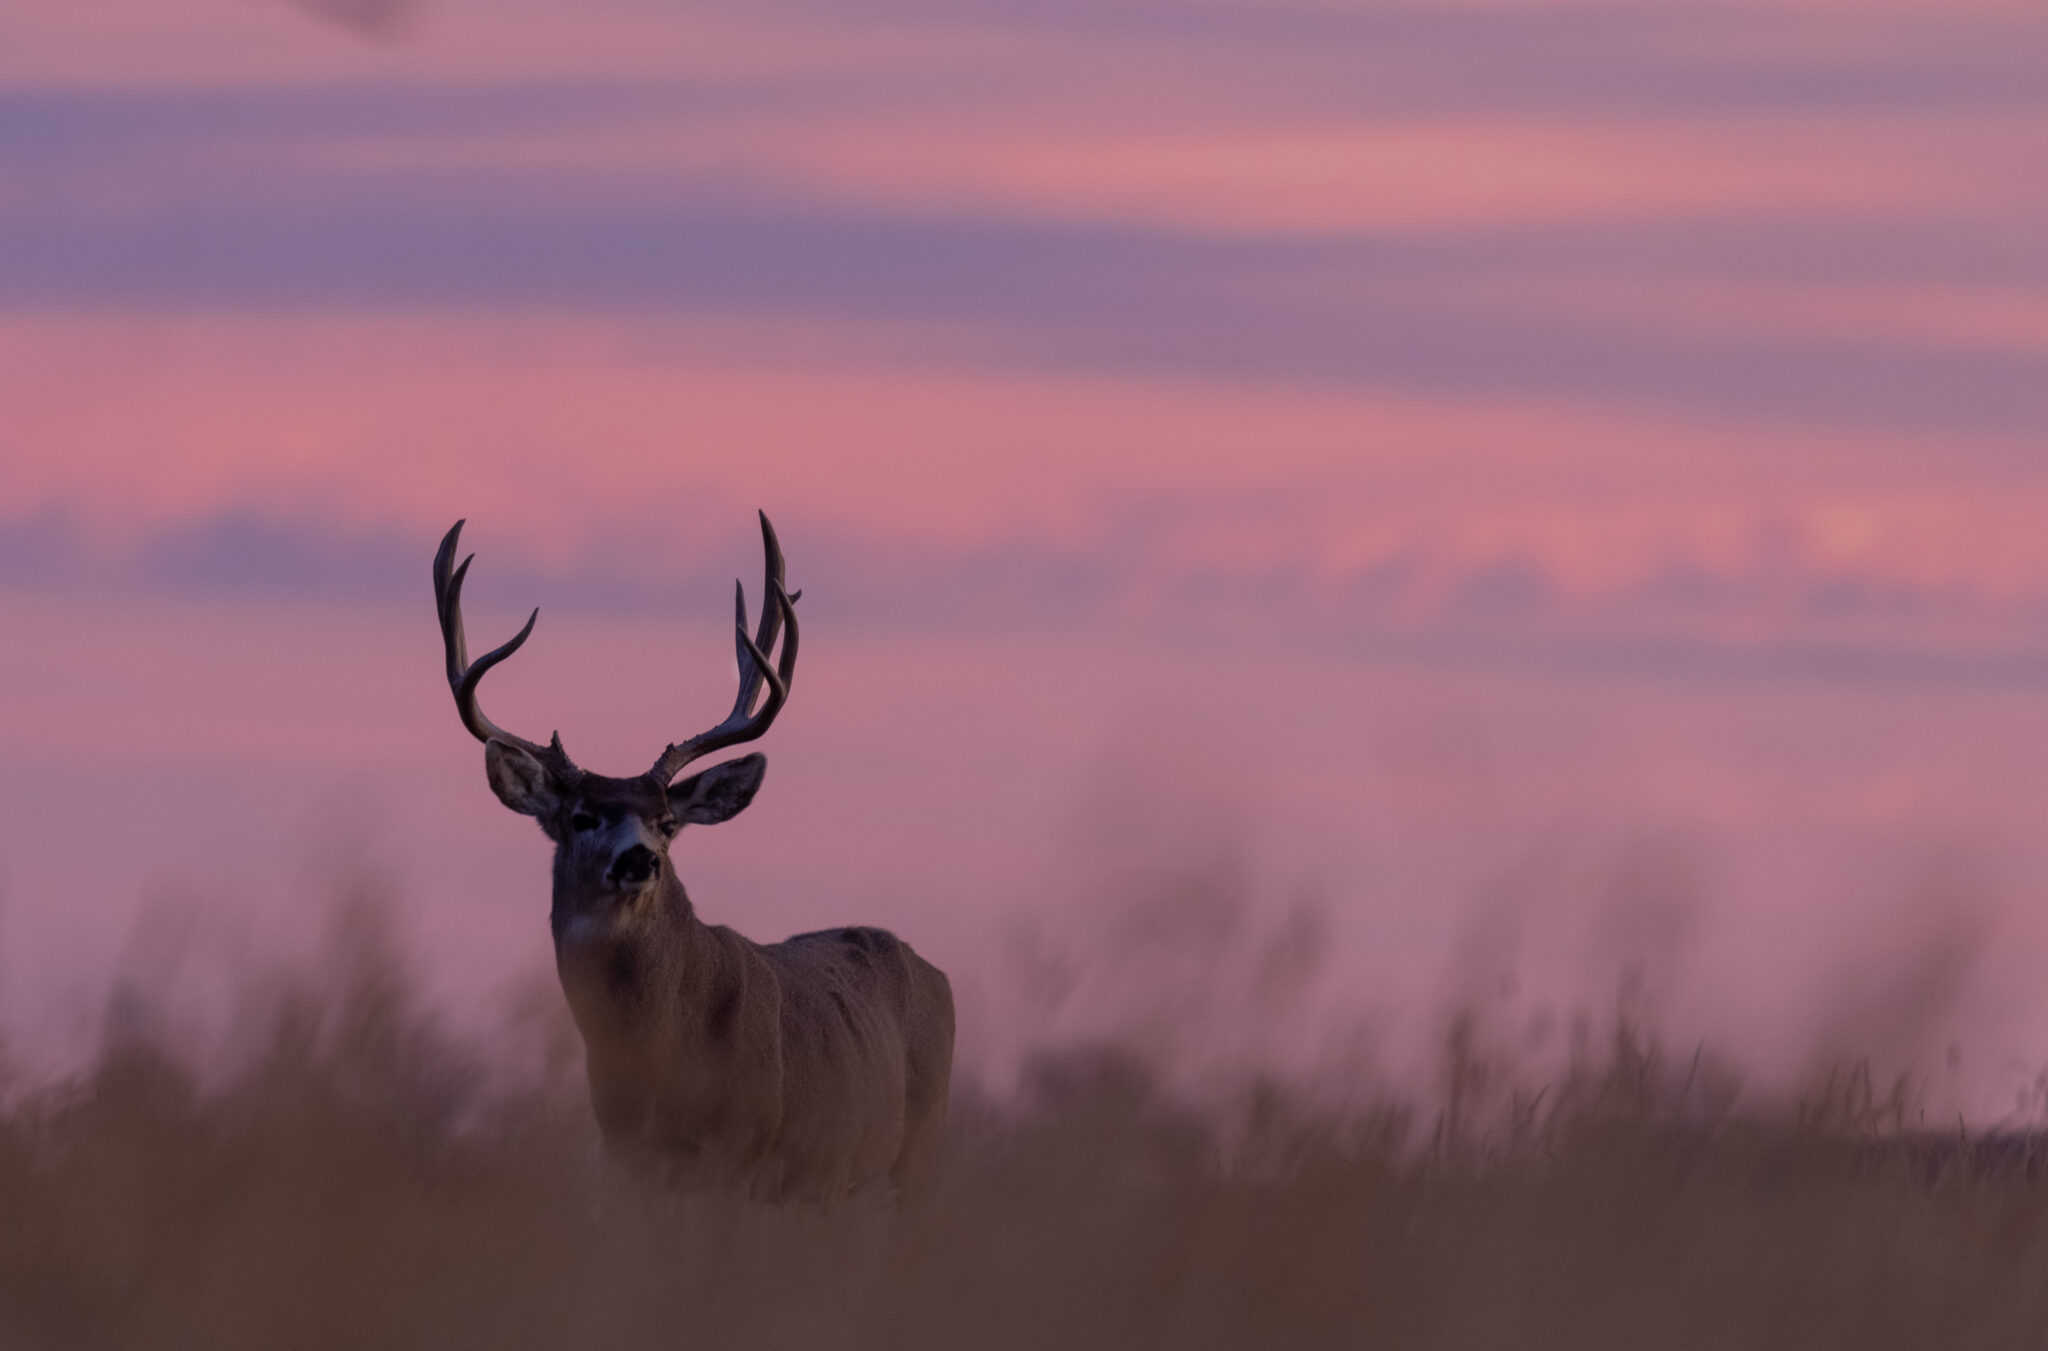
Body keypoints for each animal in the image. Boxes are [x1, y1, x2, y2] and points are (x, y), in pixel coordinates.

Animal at [434, 517, 958, 1203]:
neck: (660, 1064)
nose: (639, 859)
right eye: (581, 817)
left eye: (667, 823)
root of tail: (937, 975)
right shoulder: (626, 1155)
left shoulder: (747, 1151)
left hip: (914, 1153)